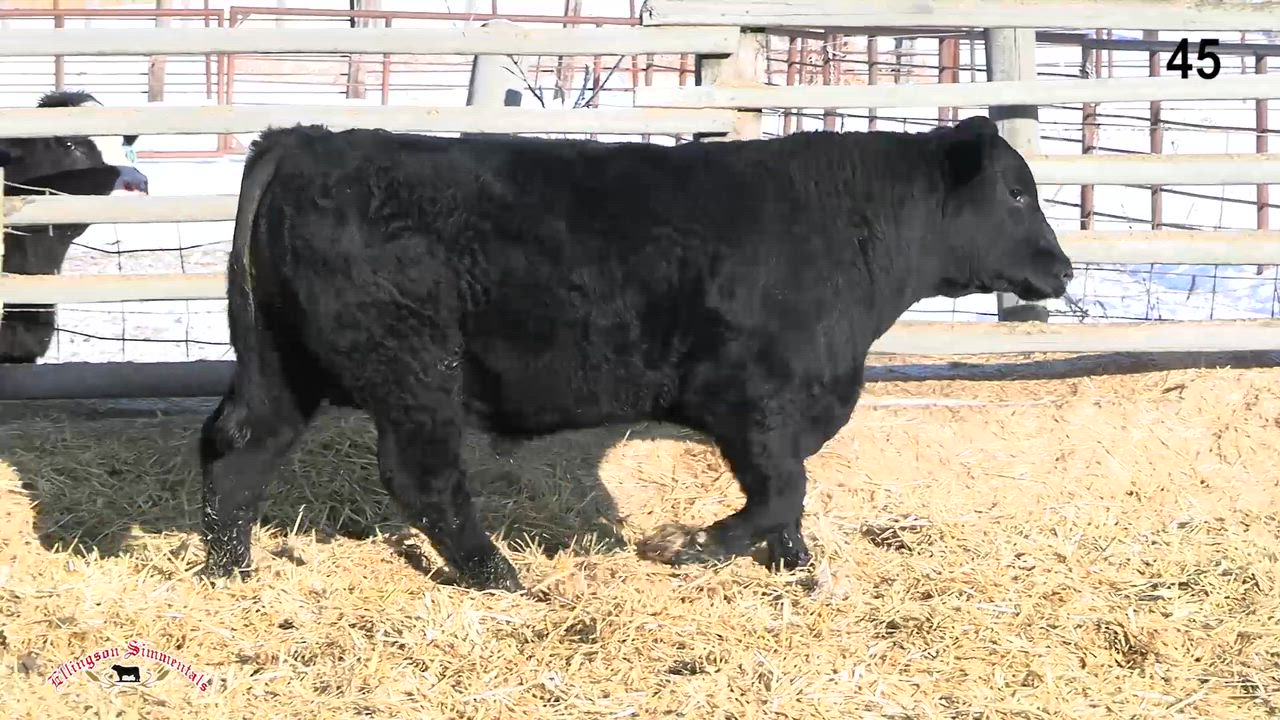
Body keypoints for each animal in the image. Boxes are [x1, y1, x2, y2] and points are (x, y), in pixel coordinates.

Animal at [198, 115, 1073, 593]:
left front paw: (794, 567)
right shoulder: (755, 398)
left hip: (282, 367)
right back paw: (499, 575)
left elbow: (789, 497)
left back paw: (228, 568)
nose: (1063, 269)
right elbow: (782, 490)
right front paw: (692, 546)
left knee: (236, 447)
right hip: (416, 376)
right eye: (1016, 193)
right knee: (425, 479)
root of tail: (306, 142)